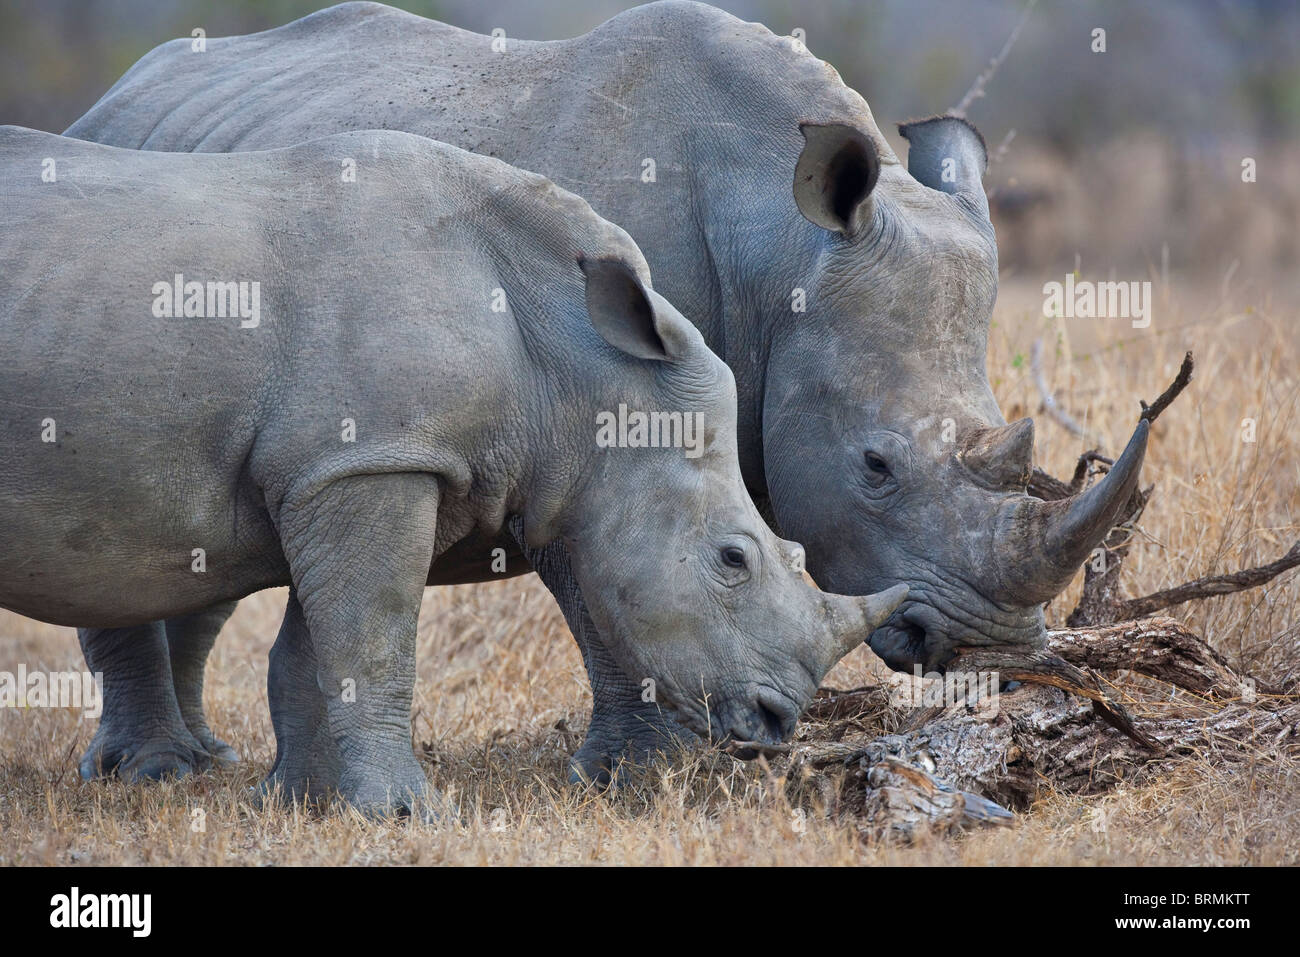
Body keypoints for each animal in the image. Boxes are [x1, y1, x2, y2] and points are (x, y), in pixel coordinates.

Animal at [0, 125, 907, 813]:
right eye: (733, 559)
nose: (776, 721)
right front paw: (405, 814)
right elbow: (375, 640)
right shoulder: (372, 460)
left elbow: (312, 651)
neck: (577, 369)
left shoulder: (336, 466)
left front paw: (299, 803)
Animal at [64, 0, 1147, 783]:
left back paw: (207, 762)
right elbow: (605, 593)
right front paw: (636, 775)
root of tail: (115, 95)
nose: (991, 651)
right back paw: (156, 777)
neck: (780, 247)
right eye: (875, 466)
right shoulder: (596, 418)